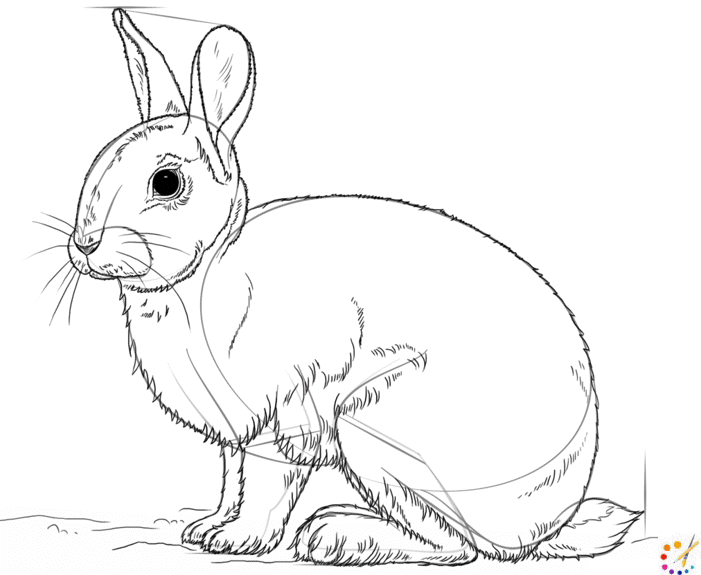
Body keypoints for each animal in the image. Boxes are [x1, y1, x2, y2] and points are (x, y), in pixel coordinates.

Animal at [64, 9, 641, 565]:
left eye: (166, 183)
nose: (84, 244)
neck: (205, 271)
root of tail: (549, 522)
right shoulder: (235, 433)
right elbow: (233, 480)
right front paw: (206, 529)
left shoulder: (286, 410)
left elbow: (268, 484)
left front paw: (240, 541)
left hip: (378, 425)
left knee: (457, 546)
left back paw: (336, 537)